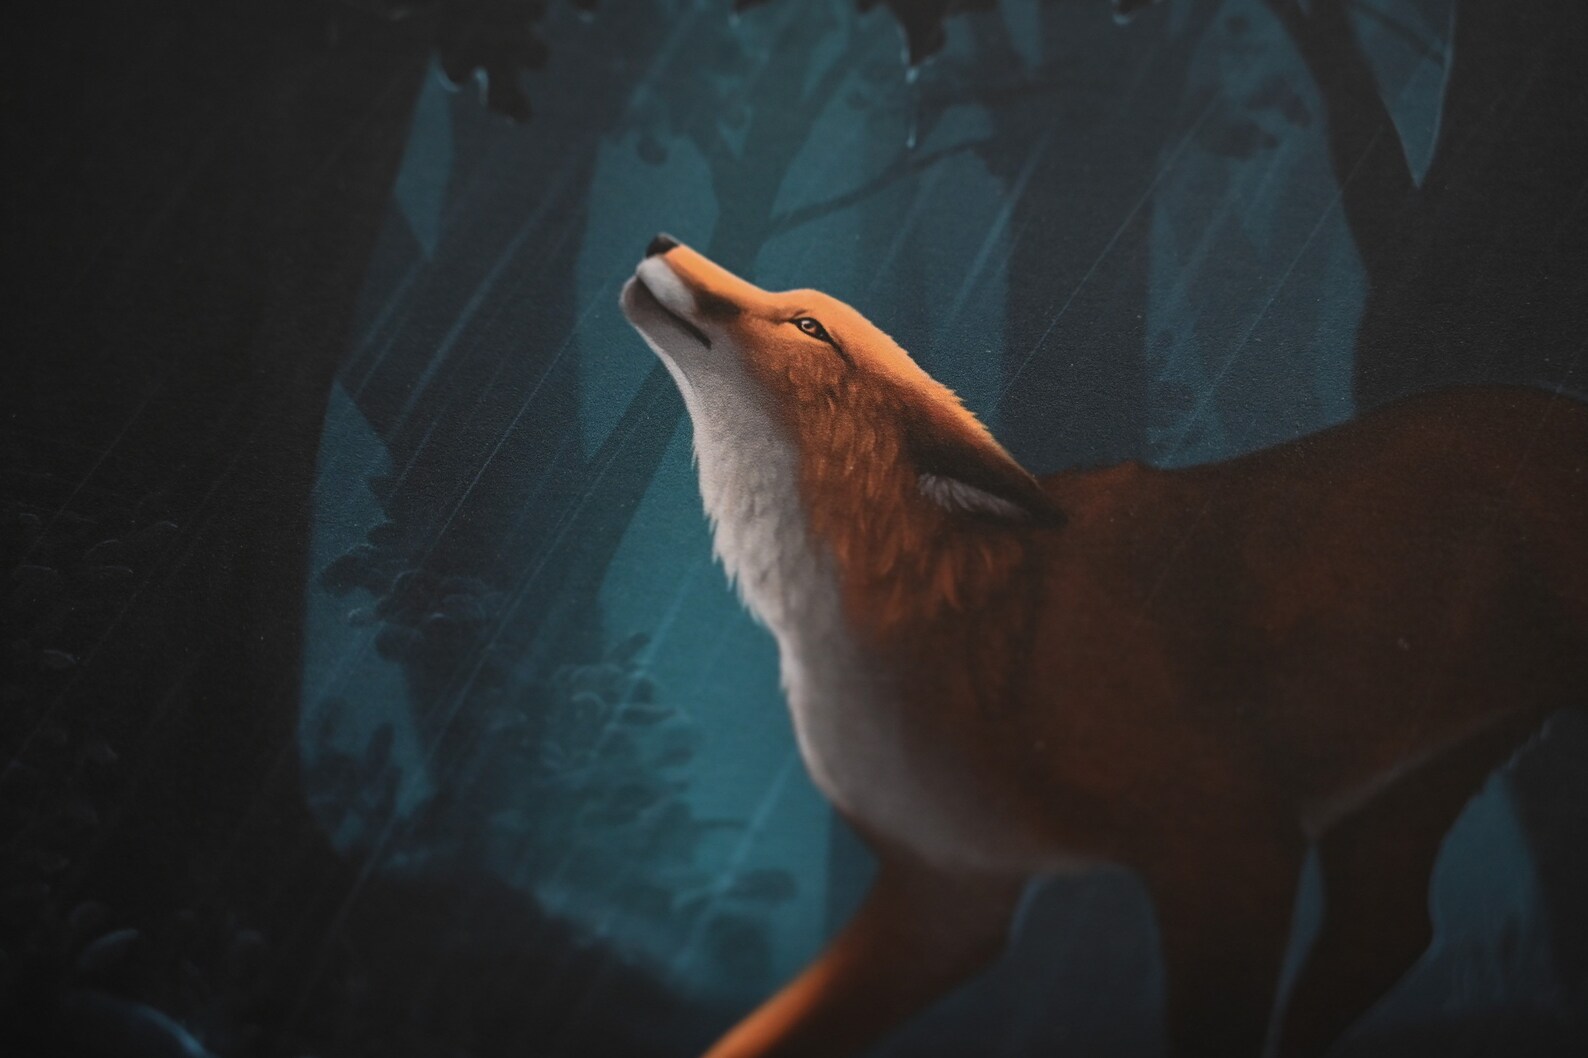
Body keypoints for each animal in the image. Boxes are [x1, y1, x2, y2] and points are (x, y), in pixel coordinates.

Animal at [619, 234, 1588, 1058]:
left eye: (809, 326)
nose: (662, 241)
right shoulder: (947, 891)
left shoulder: (1233, 847)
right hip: (1404, 789)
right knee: (1390, 936)